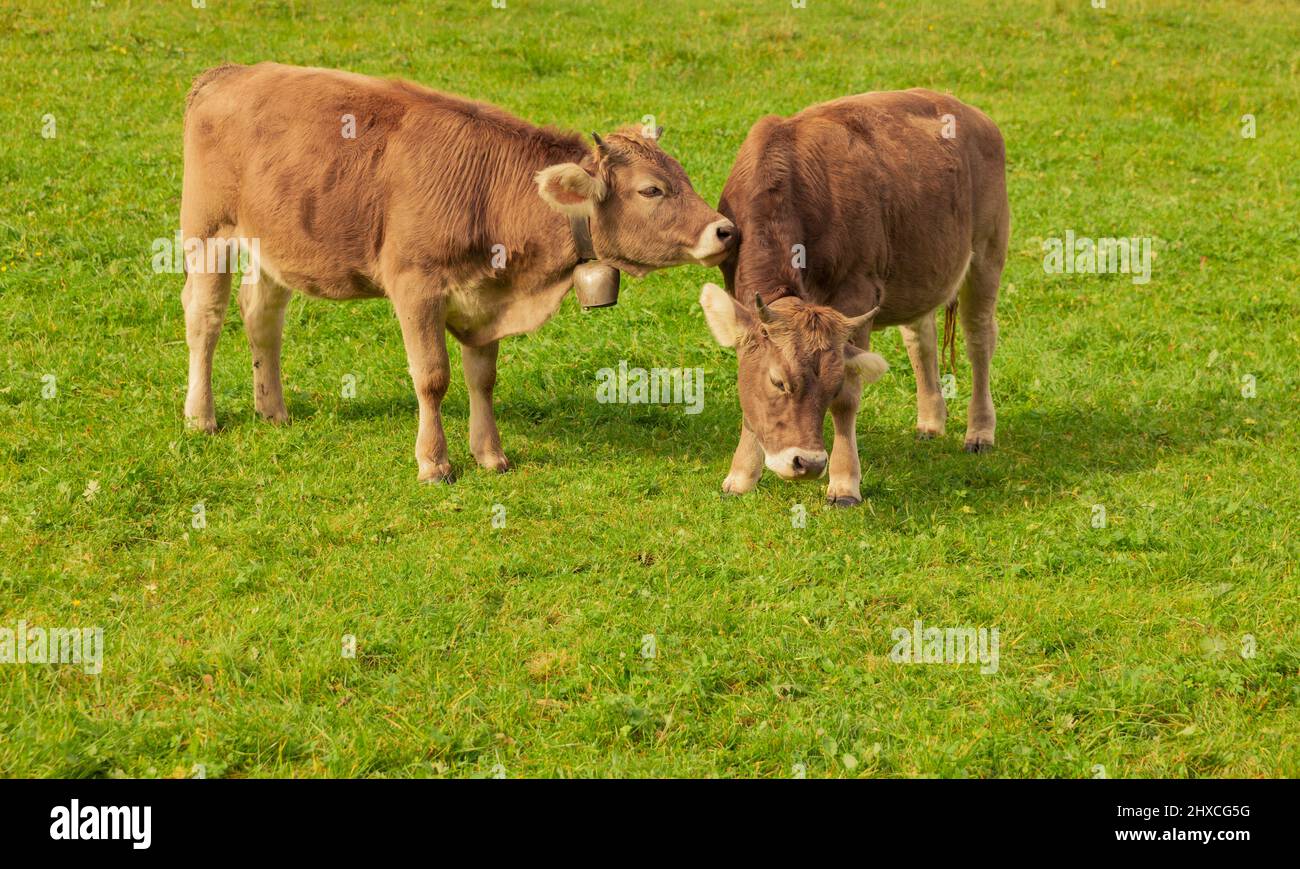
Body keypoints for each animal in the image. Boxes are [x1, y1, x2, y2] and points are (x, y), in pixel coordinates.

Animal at [180, 62, 735, 482]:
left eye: (682, 176)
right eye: (651, 190)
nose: (726, 230)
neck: (490, 191)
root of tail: (228, 73)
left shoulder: (487, 298)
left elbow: (482, 378)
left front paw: (490, 453)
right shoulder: (415, 287)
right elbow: (432, 377)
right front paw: (434, 462)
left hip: (272, 244)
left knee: (262, 317)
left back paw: (272, 410)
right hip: (207, 235)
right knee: (204, 321)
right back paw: (200, 416)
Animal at [698, 89, 1009, 506]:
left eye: (829, 387)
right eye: (779, 382)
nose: (807, 463)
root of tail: (970, 111)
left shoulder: (858, 295)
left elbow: (849, 398)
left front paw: (844, 482)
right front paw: (742, 474)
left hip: (987, 250)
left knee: (979, 339)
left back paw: (980, 431)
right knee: (921, 338)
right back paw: (931, 421)